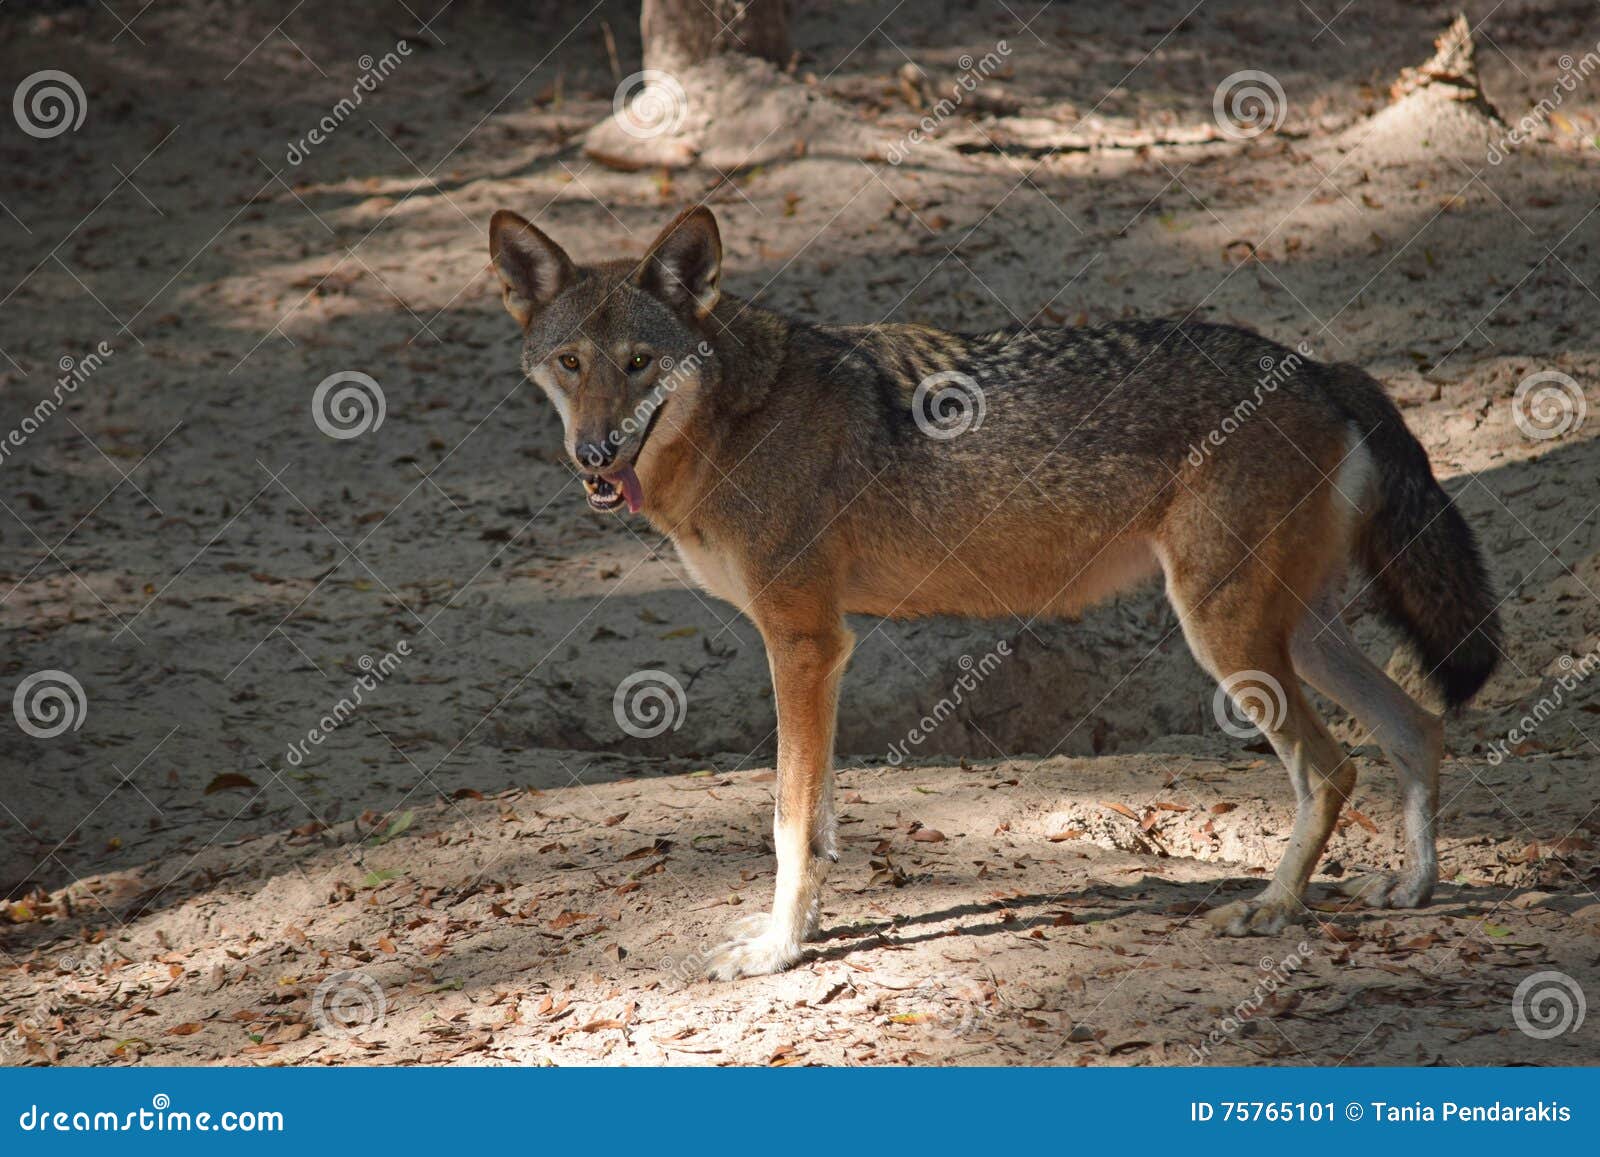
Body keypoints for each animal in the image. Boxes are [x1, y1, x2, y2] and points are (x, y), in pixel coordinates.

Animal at [487, 205, 1500, 979]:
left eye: (640, 363)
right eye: (572, 363)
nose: (595, 454)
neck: (742, 417)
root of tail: (1323, 367)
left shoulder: (804, 642)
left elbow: (785, 823)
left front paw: (777, 950)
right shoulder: (823, 652)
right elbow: (818, 822)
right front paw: (804, 929)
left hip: (1230, 640)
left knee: (1333, 767)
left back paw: (1273, 908)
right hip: (1297, 636)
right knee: (1418, 725)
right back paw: (1413, 887)